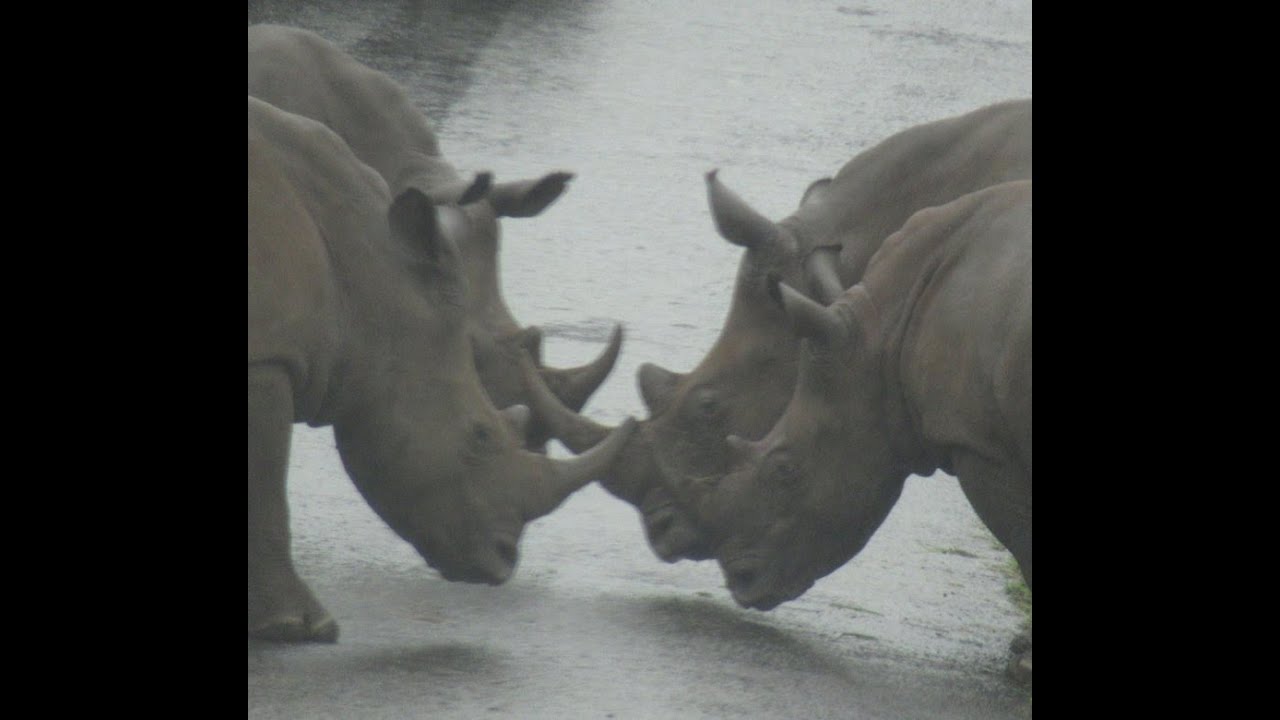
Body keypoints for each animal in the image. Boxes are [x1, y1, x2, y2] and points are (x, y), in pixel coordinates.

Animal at [248, 95, 635, 643]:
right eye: (480, 437)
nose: (504, 561)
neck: (364, 279)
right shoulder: (266, 355)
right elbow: (264, 484)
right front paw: (304, 627)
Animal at [678, 180, 1032, 675]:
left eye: (785, 470)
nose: (740, 582)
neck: (882, 340)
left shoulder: (984, 445)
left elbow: (1023, 542)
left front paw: (1025, 662)